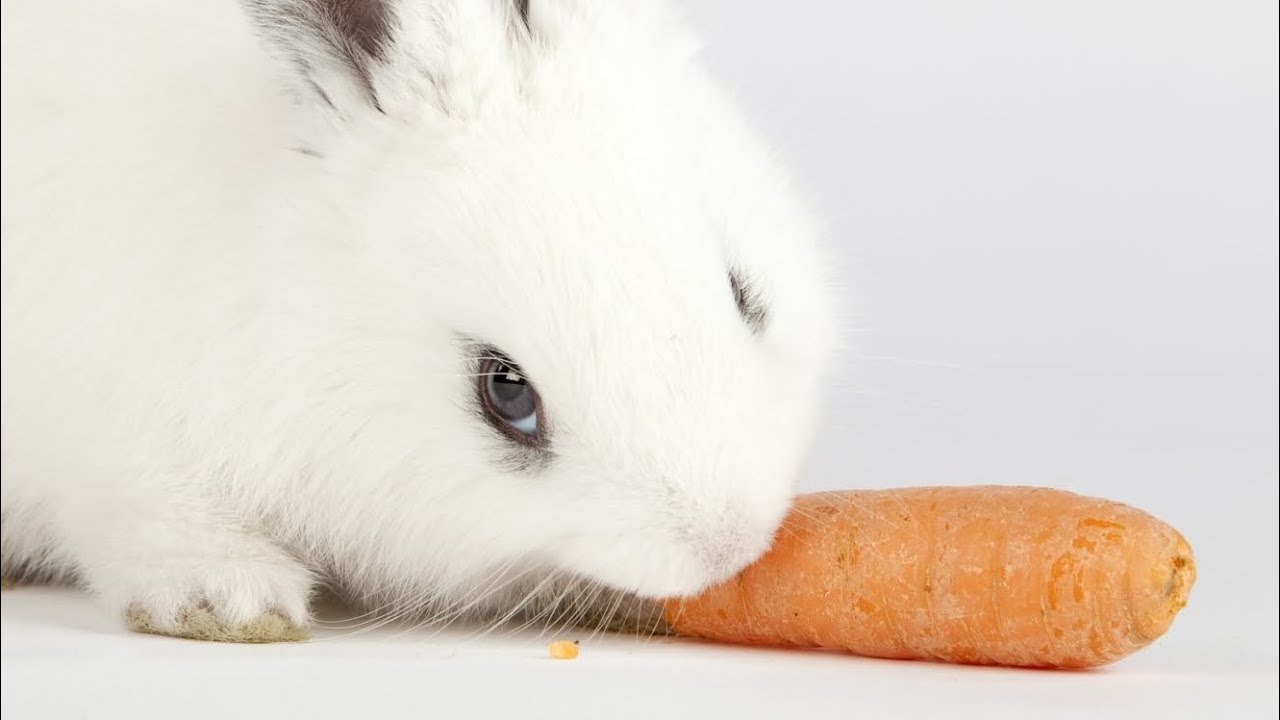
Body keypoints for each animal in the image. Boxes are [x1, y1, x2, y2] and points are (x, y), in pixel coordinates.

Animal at [0, 0, 838, 642]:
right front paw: (232, 604)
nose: (728, 545)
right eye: (504, 393)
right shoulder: (119, 447)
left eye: (743, 293)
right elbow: (154, 521)